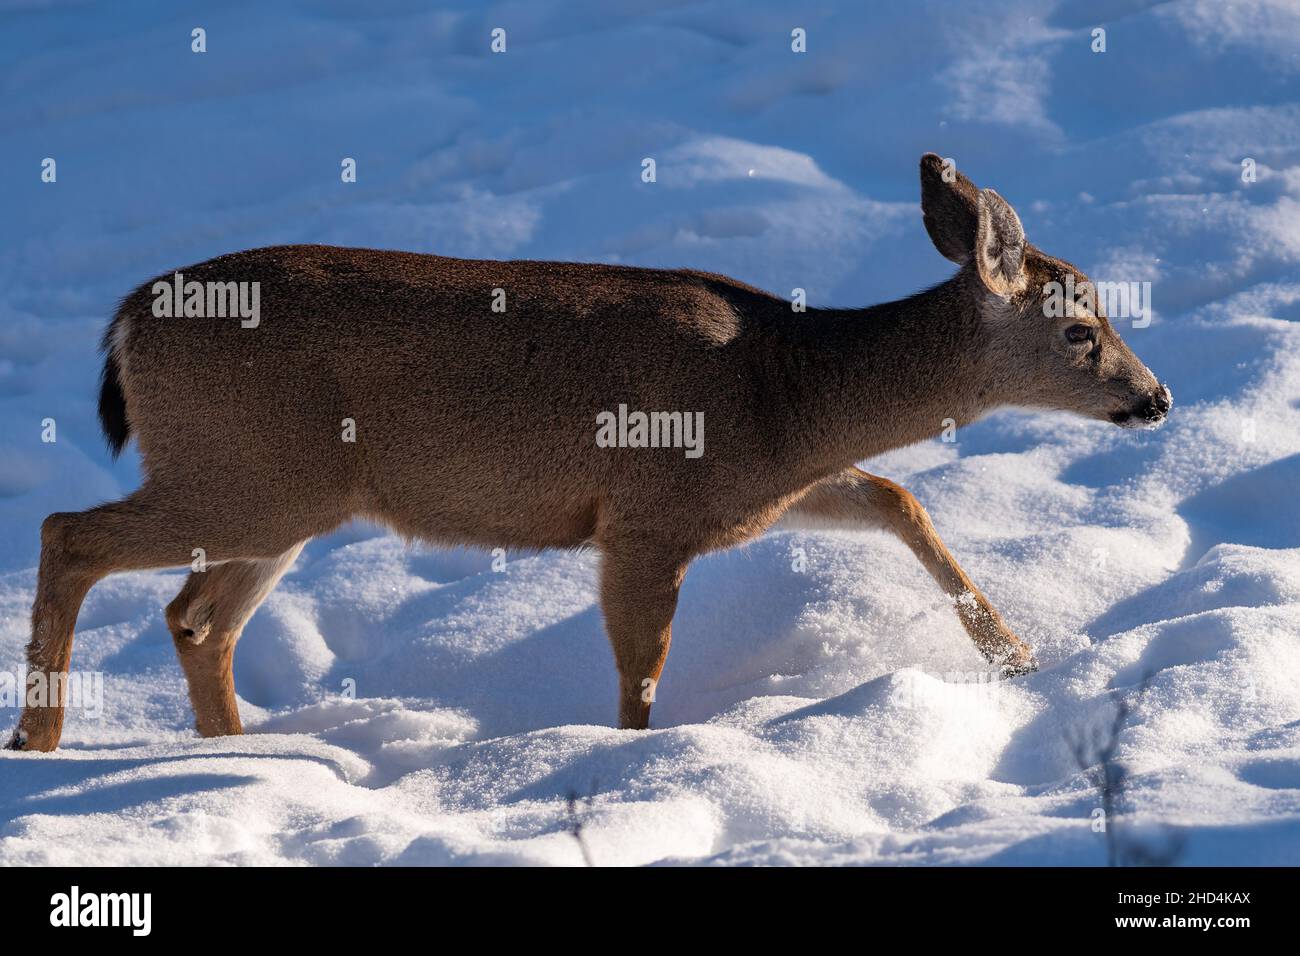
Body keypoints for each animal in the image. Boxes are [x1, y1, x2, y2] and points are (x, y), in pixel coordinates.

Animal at [8, 153, 1171, 752]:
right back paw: (43, 740)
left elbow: (893, 493)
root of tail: (127, 320)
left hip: (281, 498)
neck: (786, 388)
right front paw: (628, 758)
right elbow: (642, 662)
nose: (1155, 397)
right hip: (249, 476)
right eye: (1081, 328)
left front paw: (1018, 656)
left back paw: (238, 750)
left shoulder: (760, 490)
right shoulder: (645, 513)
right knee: (69, 533)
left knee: (194, 617)